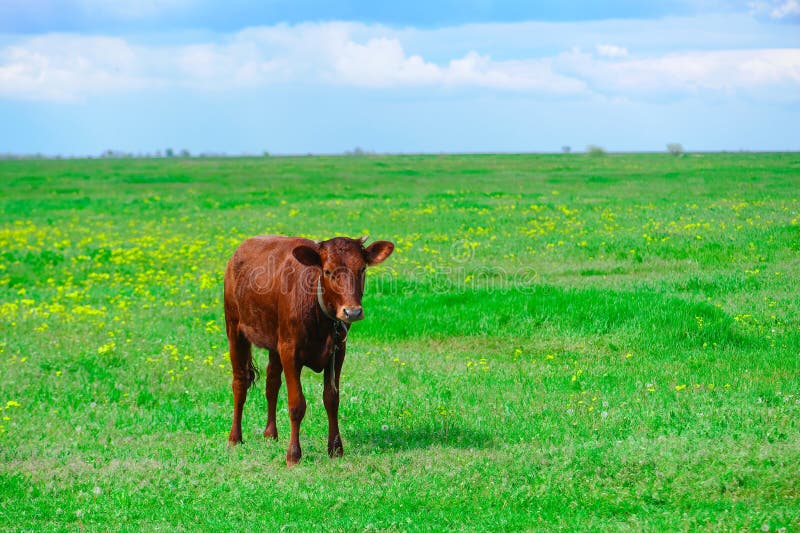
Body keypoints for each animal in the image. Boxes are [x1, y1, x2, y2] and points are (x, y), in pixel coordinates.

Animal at [223, 235, 394, 465]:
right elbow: (297, 405)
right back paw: (235, 438)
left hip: (275, 342)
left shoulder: (338, 351)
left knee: (272, 383)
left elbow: (331, 399)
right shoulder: (290, 351)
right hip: (235, 329)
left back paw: (270, 433)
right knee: (240, 383)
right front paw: (293, 455)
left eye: (362, 269)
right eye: (327, 271)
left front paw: (336, 449)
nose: (352, 312)